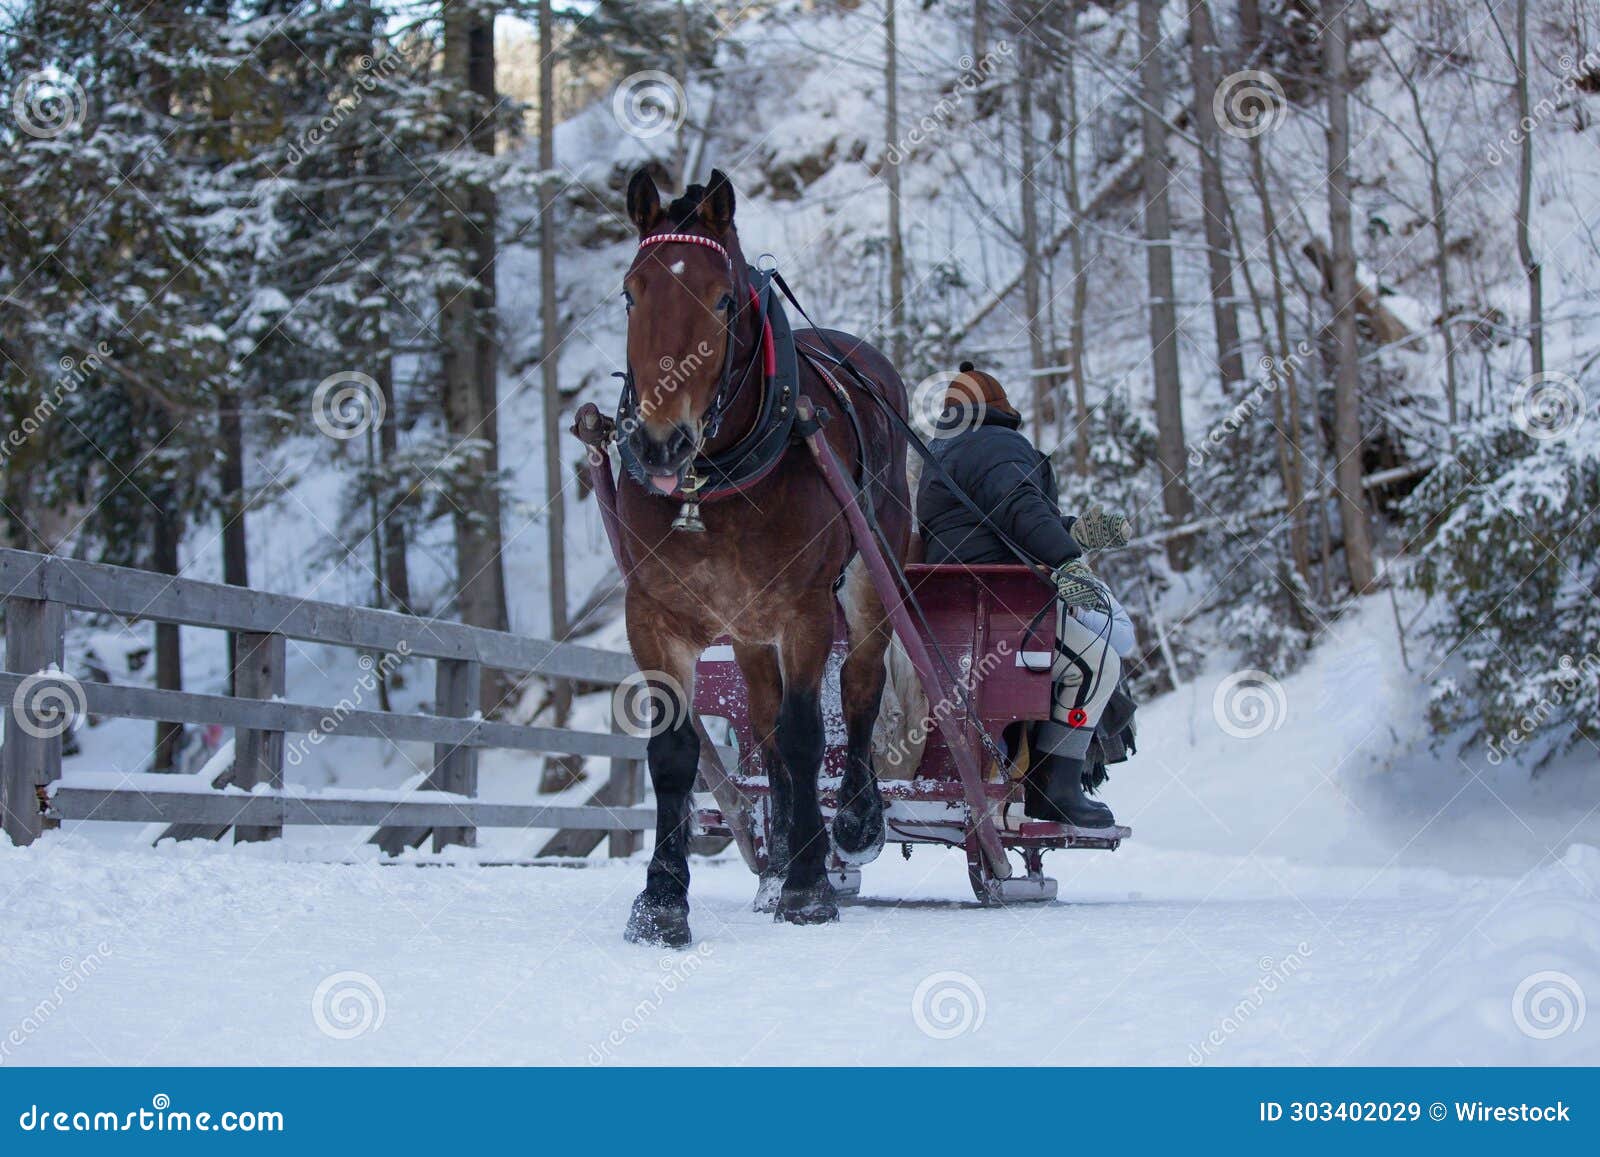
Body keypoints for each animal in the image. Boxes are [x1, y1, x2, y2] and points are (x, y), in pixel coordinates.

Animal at [611, 167, 911, 946]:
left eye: (722, 297)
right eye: (631, 291)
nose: (661, 442)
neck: (712, 478)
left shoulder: (804, 608)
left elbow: (809, 734)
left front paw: (809, 887)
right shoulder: (652, 613)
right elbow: (676, 752)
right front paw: (662, 899)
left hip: (871, 573)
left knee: (860, 686)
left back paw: (851, 824)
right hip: (748, 627)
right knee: (767, 722)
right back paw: (774, 865)